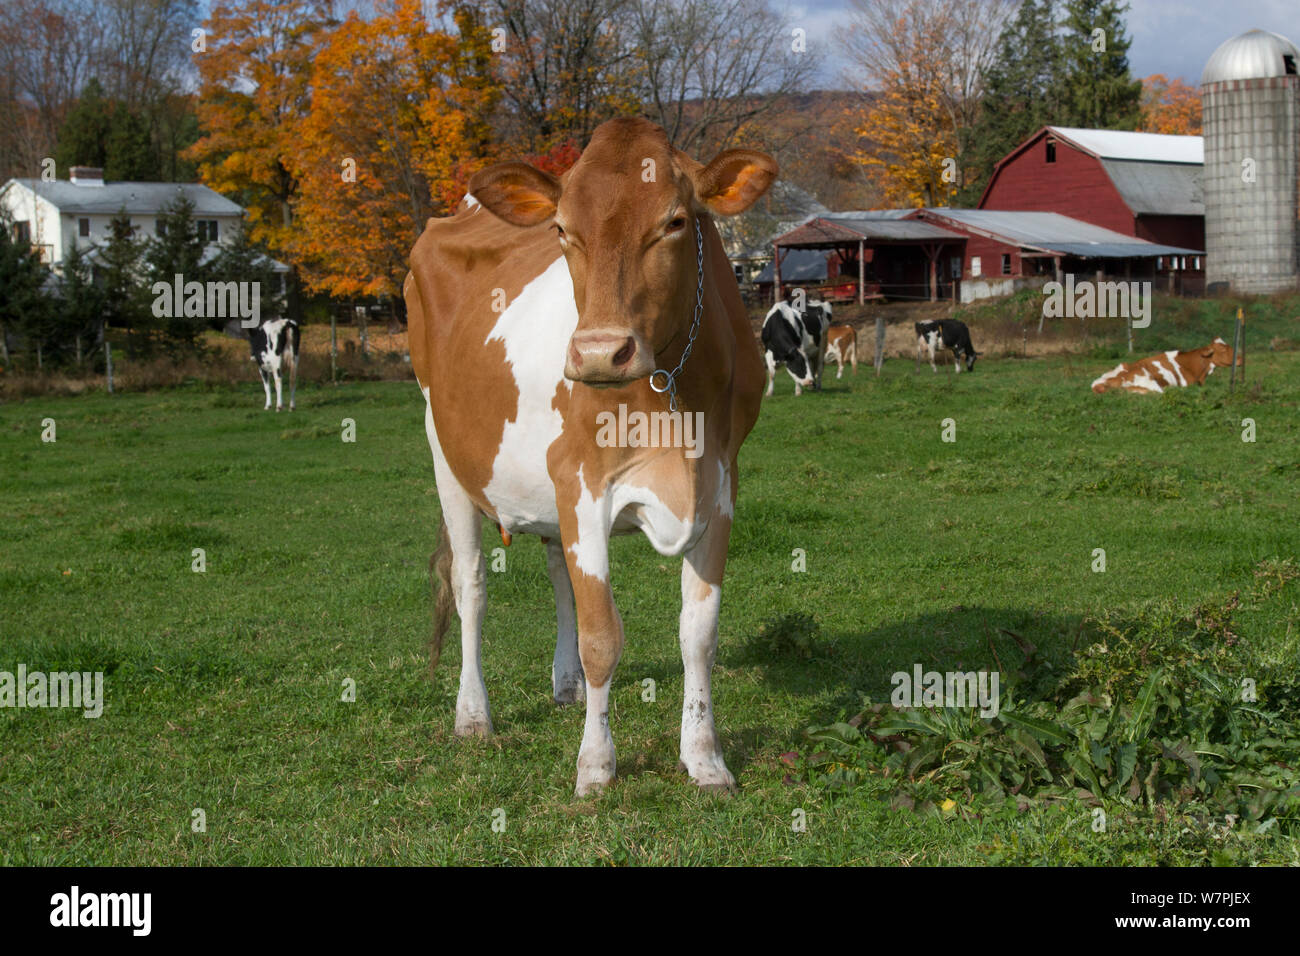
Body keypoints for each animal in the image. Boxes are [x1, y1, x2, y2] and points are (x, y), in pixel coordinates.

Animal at [404, 117, 776, 796]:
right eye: (562, 230)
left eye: (675, 221)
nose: (601, 352)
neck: (670, 398)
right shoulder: (581, 482)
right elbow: (602, 635)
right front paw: (596, 766)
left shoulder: (721, 483)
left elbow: (699, 634)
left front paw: (705, 758)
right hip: (444, 452)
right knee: (470, 585)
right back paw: (473, 714)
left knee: (557, 575)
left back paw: (567, 685)